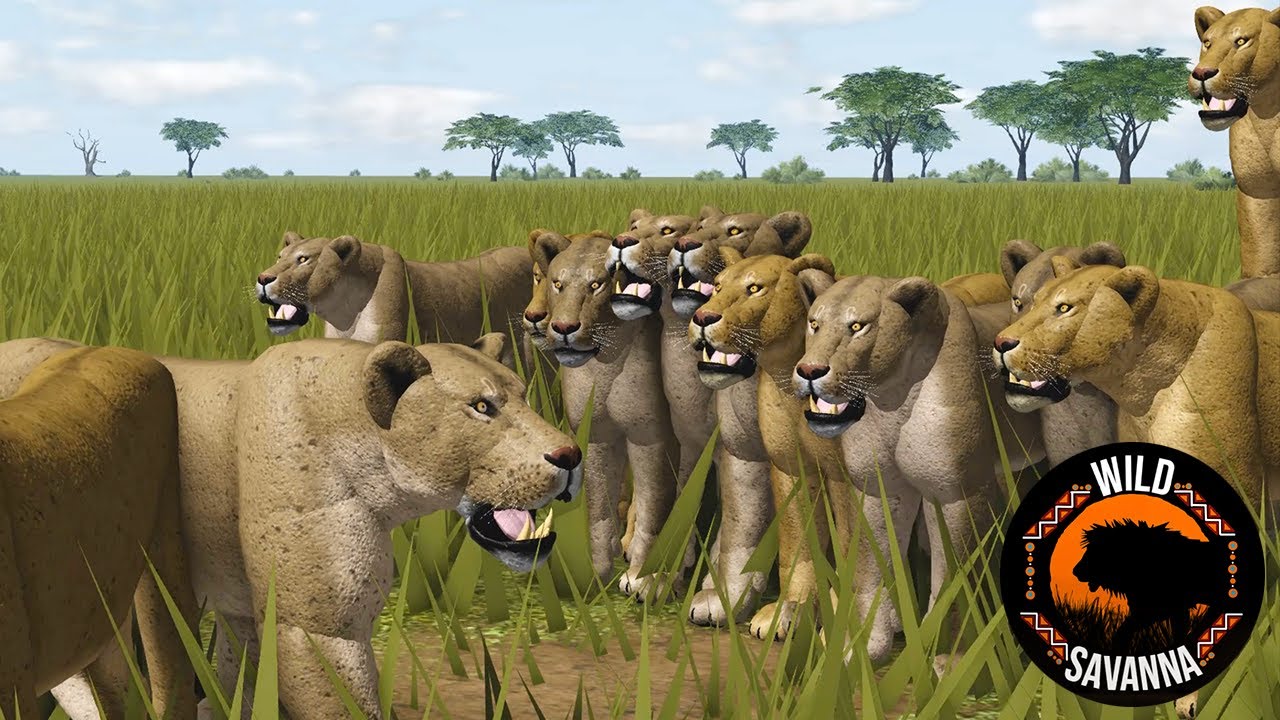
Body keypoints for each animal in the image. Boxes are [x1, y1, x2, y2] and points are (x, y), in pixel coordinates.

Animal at [530, 230, 682, 596]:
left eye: (597, 285)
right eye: (557, 283)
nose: (563, 327)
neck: (604, 363)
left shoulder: (651, 437)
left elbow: (653, 506)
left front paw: (644, 578)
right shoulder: (596, 435)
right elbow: (598, 506)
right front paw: (595, 573)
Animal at [686, 249, 846, 640]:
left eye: (755, 289)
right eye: (718, 287)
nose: (702, 318)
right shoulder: (791, 468)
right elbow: (798, 544)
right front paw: (792, 611)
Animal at [793, 273, 1045, 667]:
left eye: (858, 326)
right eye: (814, 324)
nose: (809, 371)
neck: (891, 398)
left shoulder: (957, 493)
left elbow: (956, 576)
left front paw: (949, 659)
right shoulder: (878, 489)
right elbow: (870, 565)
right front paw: (860, 647)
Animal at [1190, 6, 1280, 278]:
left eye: (1241, 41)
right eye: (1207, 43)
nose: (1201, 73)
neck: (1267, 114)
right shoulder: (1257, 189)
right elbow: (1260, 252)